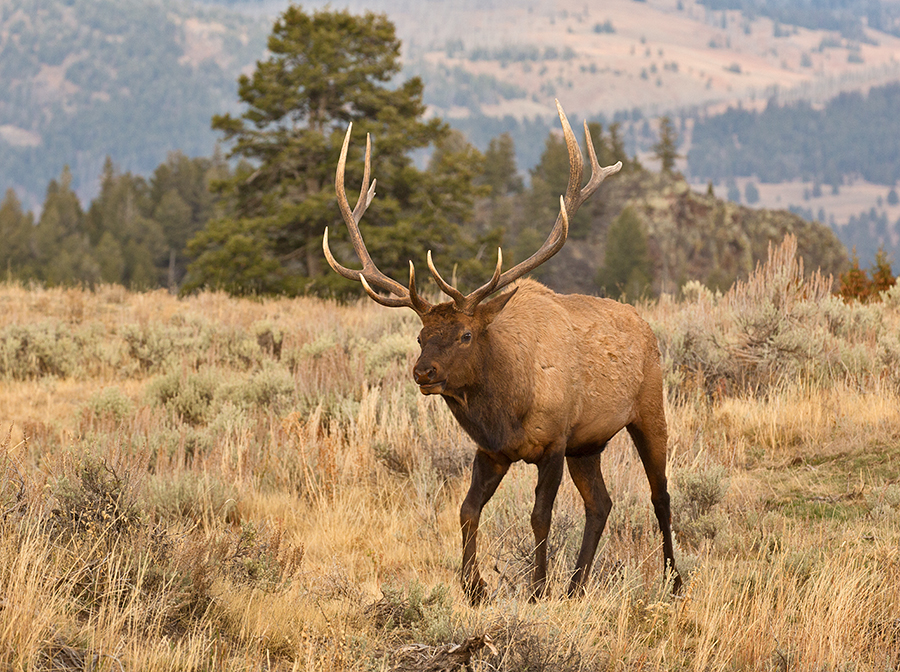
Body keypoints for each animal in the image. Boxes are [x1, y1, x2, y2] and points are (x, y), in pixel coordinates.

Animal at [323, 101, 680, 604]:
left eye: (466, 335)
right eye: (420, 336)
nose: (423, 371)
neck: (507, 408)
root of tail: (646, 326)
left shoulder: (554, 442)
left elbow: (540, 517)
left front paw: (536, 590)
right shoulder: (491, 451)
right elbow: (467, 508)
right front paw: (474, 587)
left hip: (648, 408)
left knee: (660, 495)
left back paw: (674, 581)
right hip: (589, 444)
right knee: (602, 504)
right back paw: (577, 586)